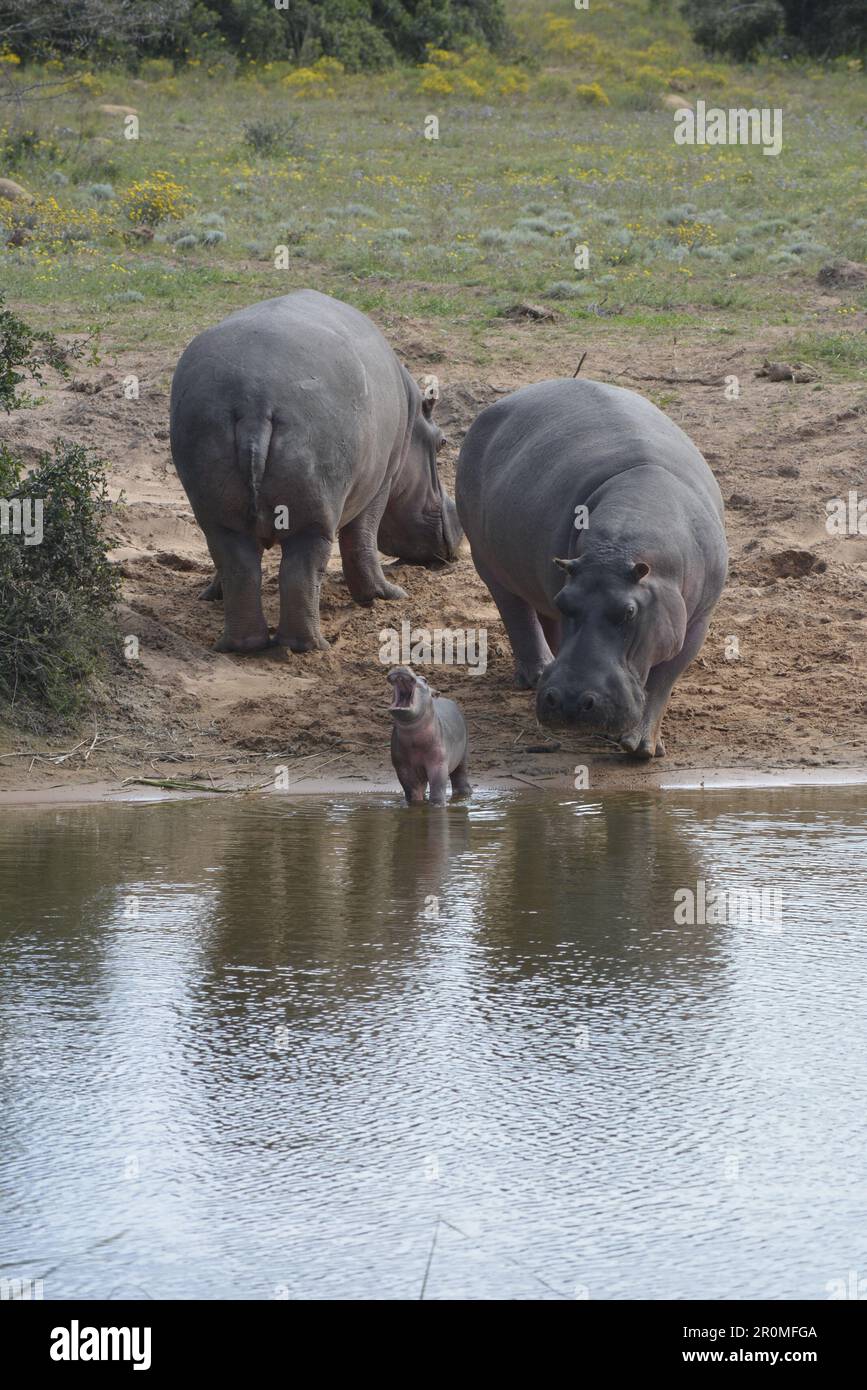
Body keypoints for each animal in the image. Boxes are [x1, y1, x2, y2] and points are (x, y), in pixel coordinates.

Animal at [170, 290, 461, 653]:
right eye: (442, 442)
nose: (457, 515)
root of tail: (254, 398)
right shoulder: (381, 483)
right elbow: (362, 541)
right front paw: (389, 596)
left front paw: (210, 594)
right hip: (317, 513)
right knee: (303, 569)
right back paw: (311, 645)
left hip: (217, 508)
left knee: (237, 564)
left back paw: (242, 645)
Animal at [387, 667, 471, 805]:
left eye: (425, 680)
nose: (400, 666)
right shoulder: (402, 766)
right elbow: (411, 790)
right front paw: (415, 805)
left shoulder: (438, 763)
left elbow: (438, 786)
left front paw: (437, 804)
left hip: (462, 757)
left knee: (460, 777)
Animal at [455, 378, 727, 758]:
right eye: (566, 602)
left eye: (629, 613)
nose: (569, 702)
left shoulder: (697, 620)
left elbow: (662, 681)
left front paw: (640, 747)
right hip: (487, 562)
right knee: (516, 612)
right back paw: (536, 675)